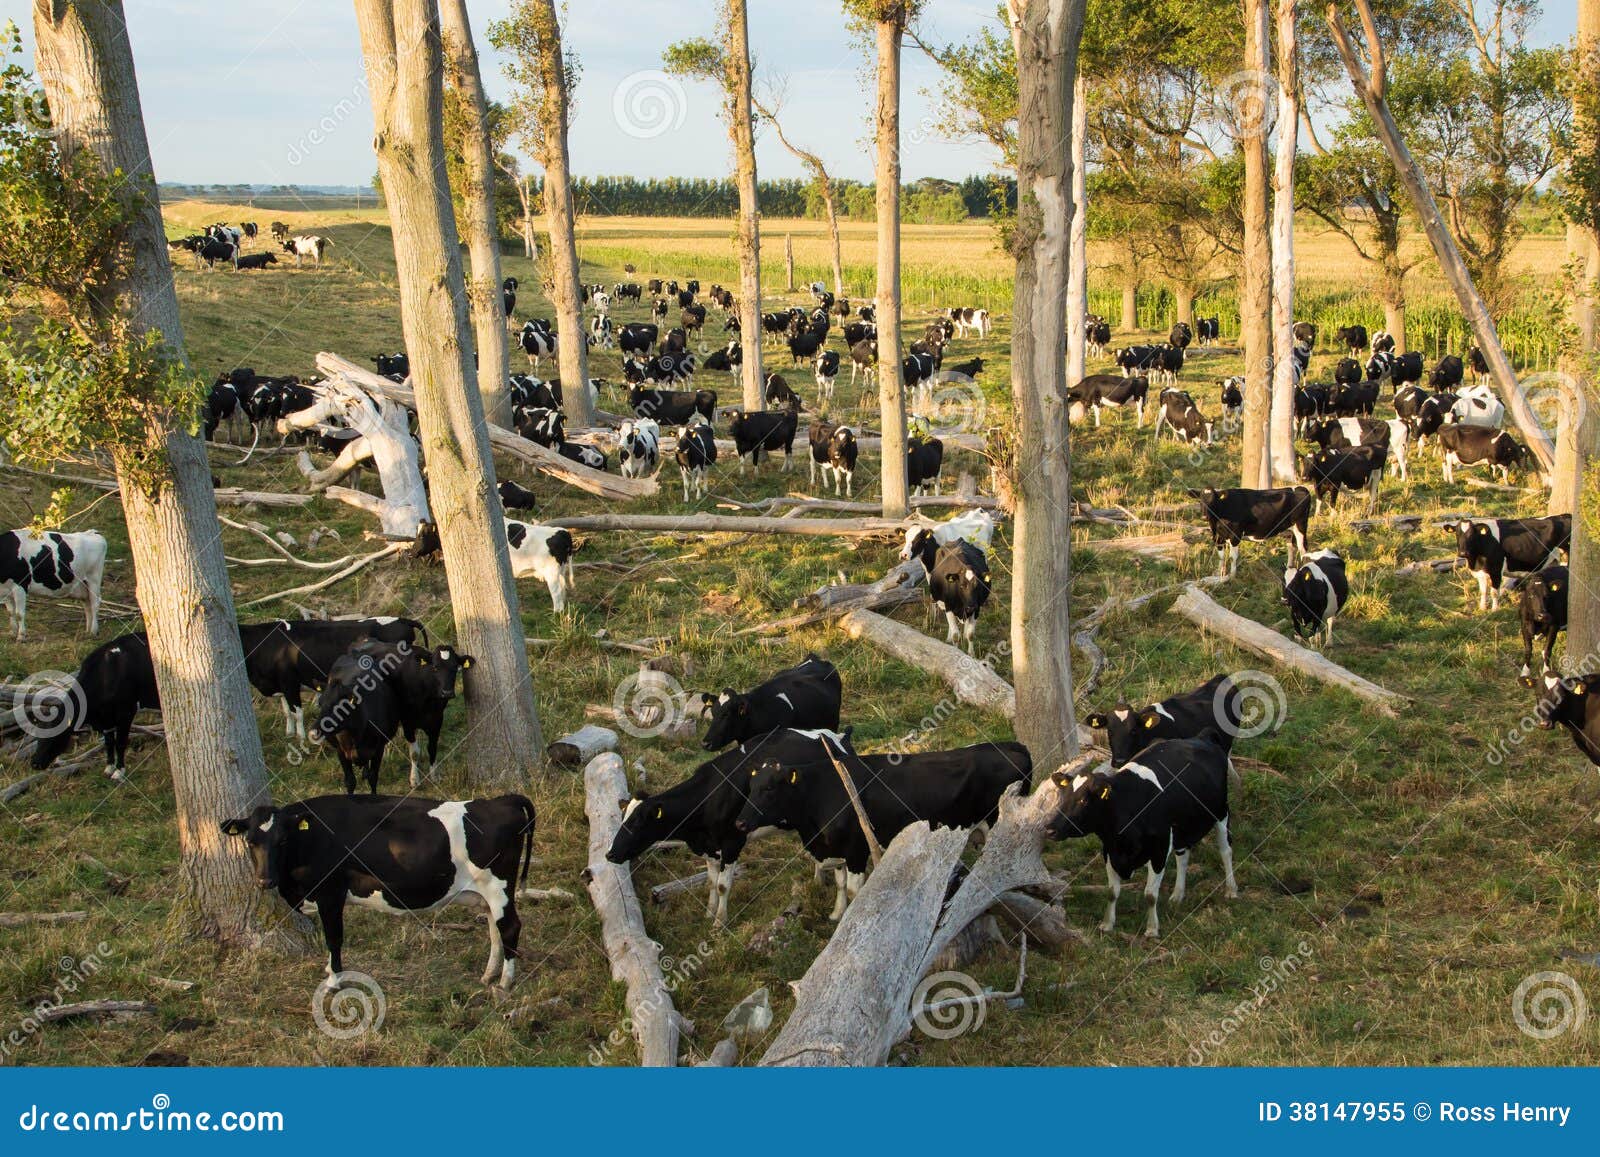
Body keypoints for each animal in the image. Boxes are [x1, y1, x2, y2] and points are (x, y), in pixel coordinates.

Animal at [27, 632, 158, 782]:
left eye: (54, 735)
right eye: (37, 737)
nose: (35, 763)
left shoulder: (126, 712)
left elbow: (120, 743)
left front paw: (119, 771)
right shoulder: (106, 717)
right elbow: (109, 742)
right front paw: (109, 768)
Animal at [221, 793, 535, 988]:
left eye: (283, 840)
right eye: (250, 841)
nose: (264, 881)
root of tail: (502, 800)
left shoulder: (330, 894)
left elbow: (334, 938)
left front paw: (333, 980)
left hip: (498, 887)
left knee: (510, 927)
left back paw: (505, 982)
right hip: (487, 895)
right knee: (495, 928)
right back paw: (489, 975)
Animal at [737, 729, 1032, 918]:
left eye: (770, 788)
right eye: (751, 787)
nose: (739, 822)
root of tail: (1012, 745)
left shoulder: (856, 850)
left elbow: (854, 889)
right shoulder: (838, 849)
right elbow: (841, 884)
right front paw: (836, 914)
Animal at [1045, 731, 1238, 937]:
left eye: (1083, 800)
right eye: (1063, 796)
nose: (1050, 829)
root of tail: (1202, 737)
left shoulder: (1160, 849)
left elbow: (1150, 895)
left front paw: (1152, 929)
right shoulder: (1109, 850)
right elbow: (1112, 892)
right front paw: (1107, 923)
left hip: (1221, 813)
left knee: (1226, 850)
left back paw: (1231, 889)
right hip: (1181, 828)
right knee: (1183, 856)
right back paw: (1177, 894)